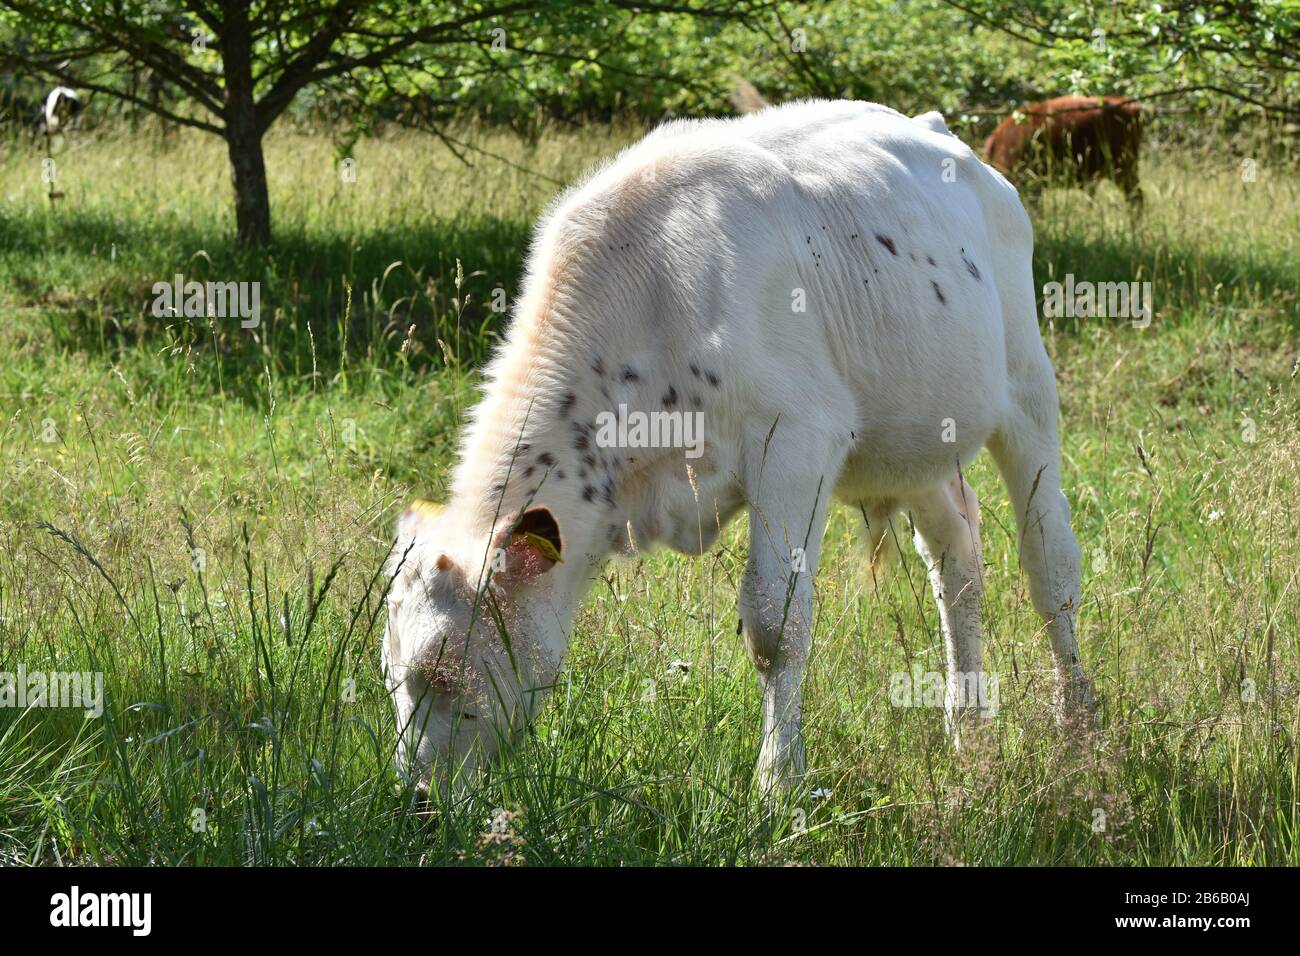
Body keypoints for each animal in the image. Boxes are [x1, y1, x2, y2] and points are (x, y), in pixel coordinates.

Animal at [383, 99, 1094, 795]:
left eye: (445, 671)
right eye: (391, 673)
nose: (418, 802)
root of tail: (937, 129)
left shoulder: (796, 442)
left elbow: (775, 624)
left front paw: (778, 786)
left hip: (1027, 390)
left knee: (1048, 558)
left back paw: (1076, 727)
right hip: (917, 441)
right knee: (957, 561)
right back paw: (967, 728)